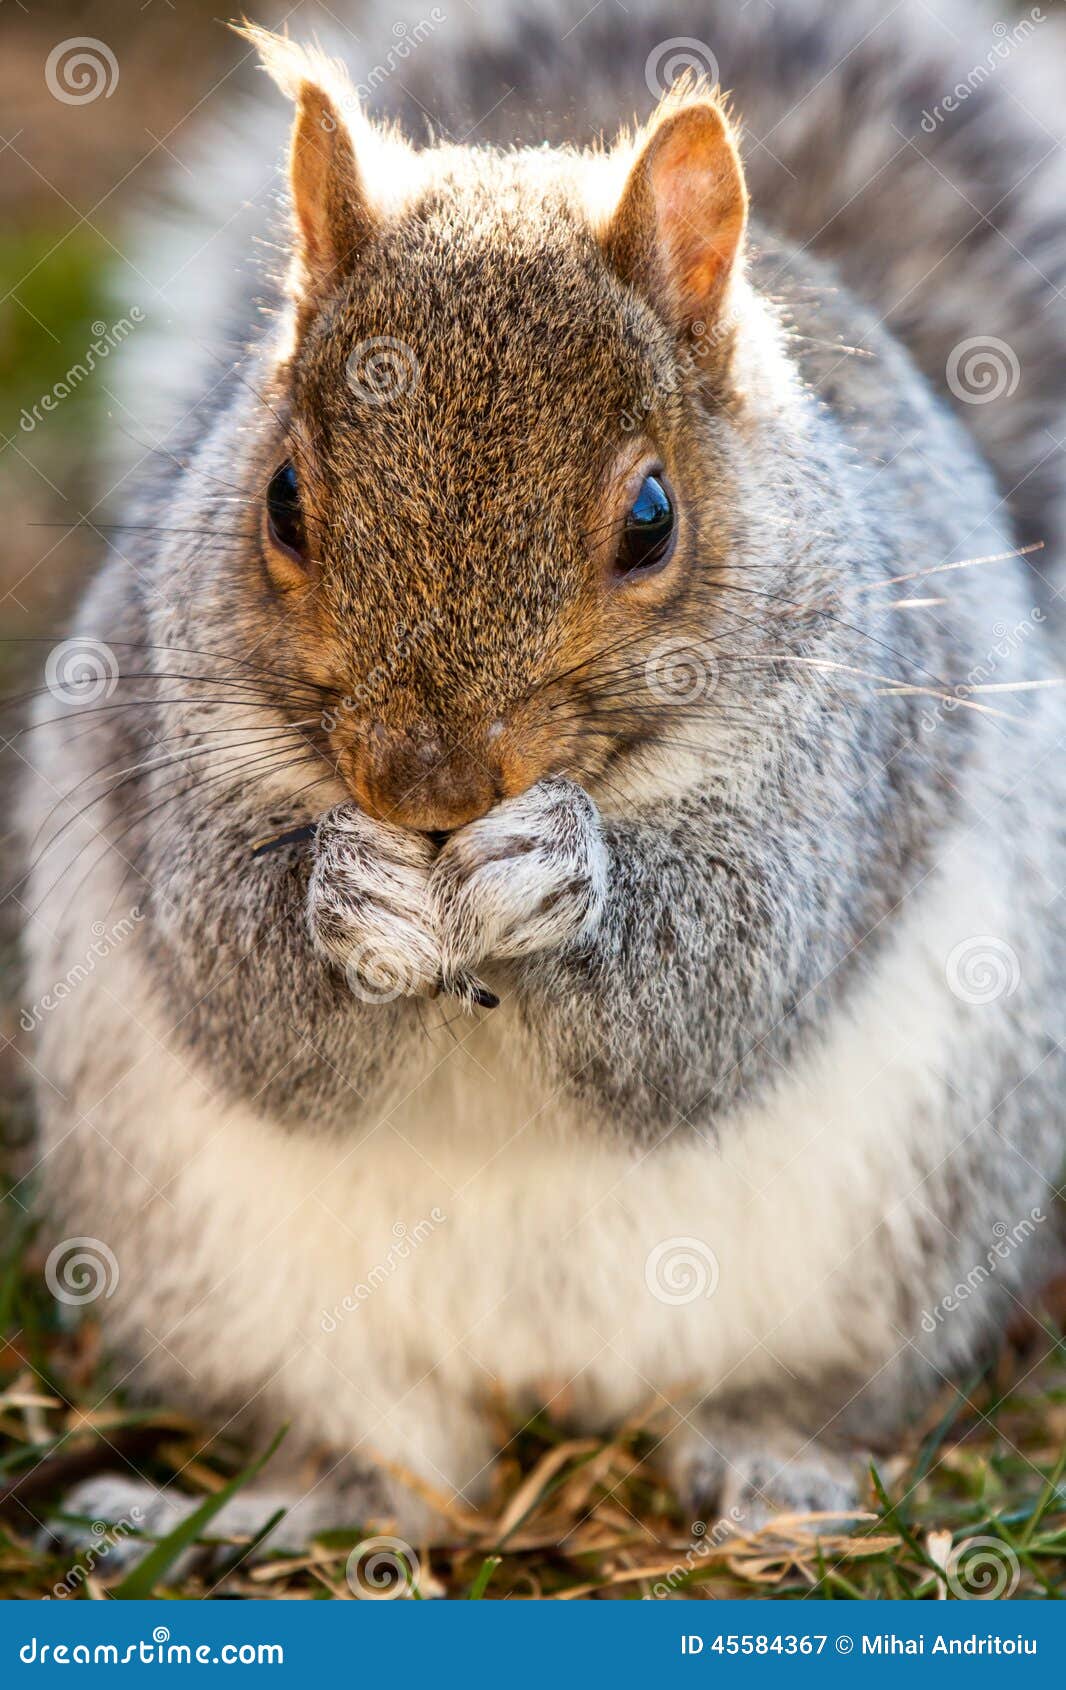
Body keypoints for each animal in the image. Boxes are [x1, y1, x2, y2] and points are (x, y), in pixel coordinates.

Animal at [17, 0, 1066, 1560]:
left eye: (651, 519)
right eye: (281, 500)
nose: (426, 785)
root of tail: (547, 1375)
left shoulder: (840, 755)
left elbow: (722, 986)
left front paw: (555, 878)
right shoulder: (169, 741)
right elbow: (242, 992)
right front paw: (349, 899)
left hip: (905, 1229)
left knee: (768, 1392)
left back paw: (772, 1469)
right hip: (213, 1267)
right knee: (384, 1459)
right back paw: (232, 1513)